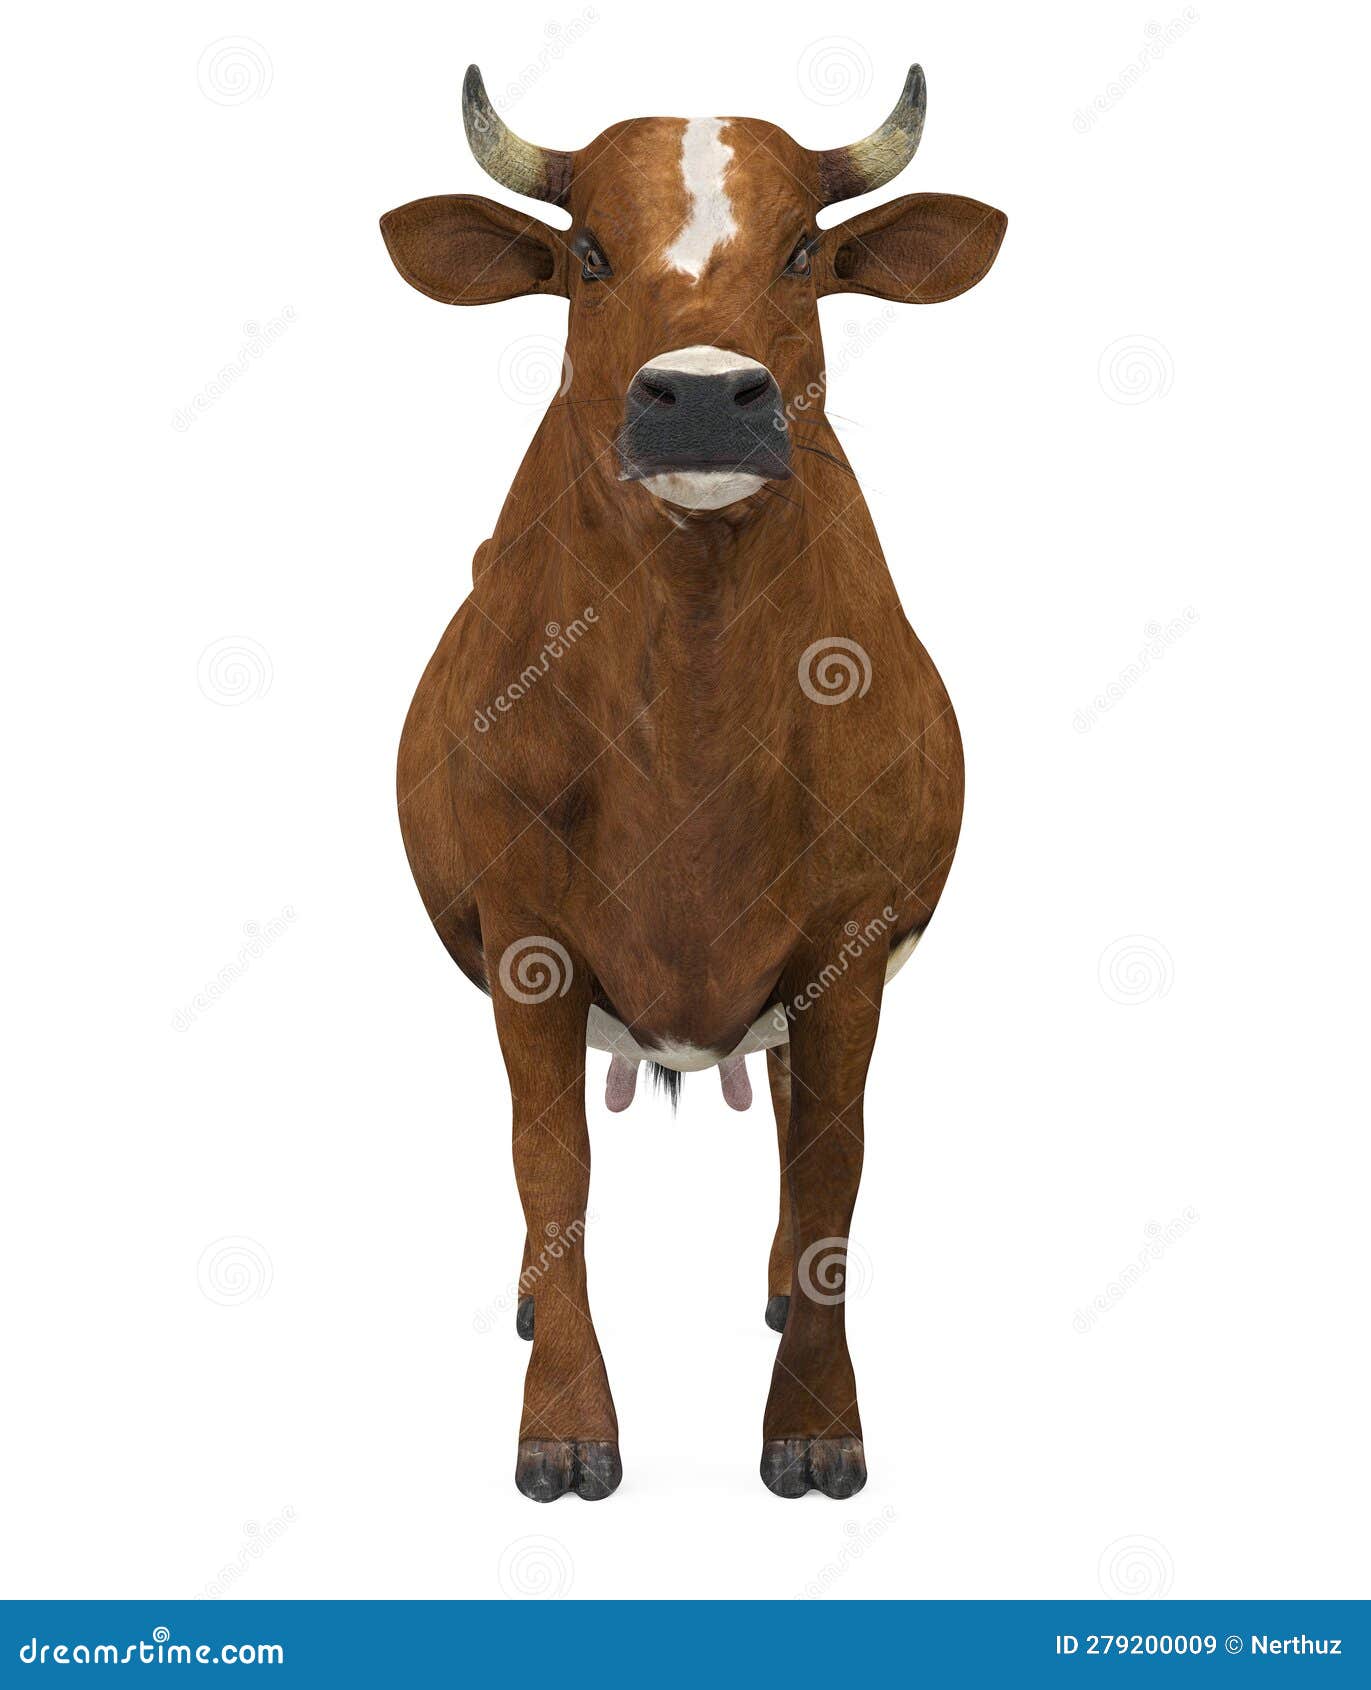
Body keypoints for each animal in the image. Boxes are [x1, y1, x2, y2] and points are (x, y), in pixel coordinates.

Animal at [381, 63, 1005, 1502]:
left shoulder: (846, 942)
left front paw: (817, 1421)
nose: (709, 398)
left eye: (804, 254)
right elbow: (549, 1164)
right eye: (588, 257)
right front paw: (561, 1420)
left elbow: (832, 1171)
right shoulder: (527, 940)